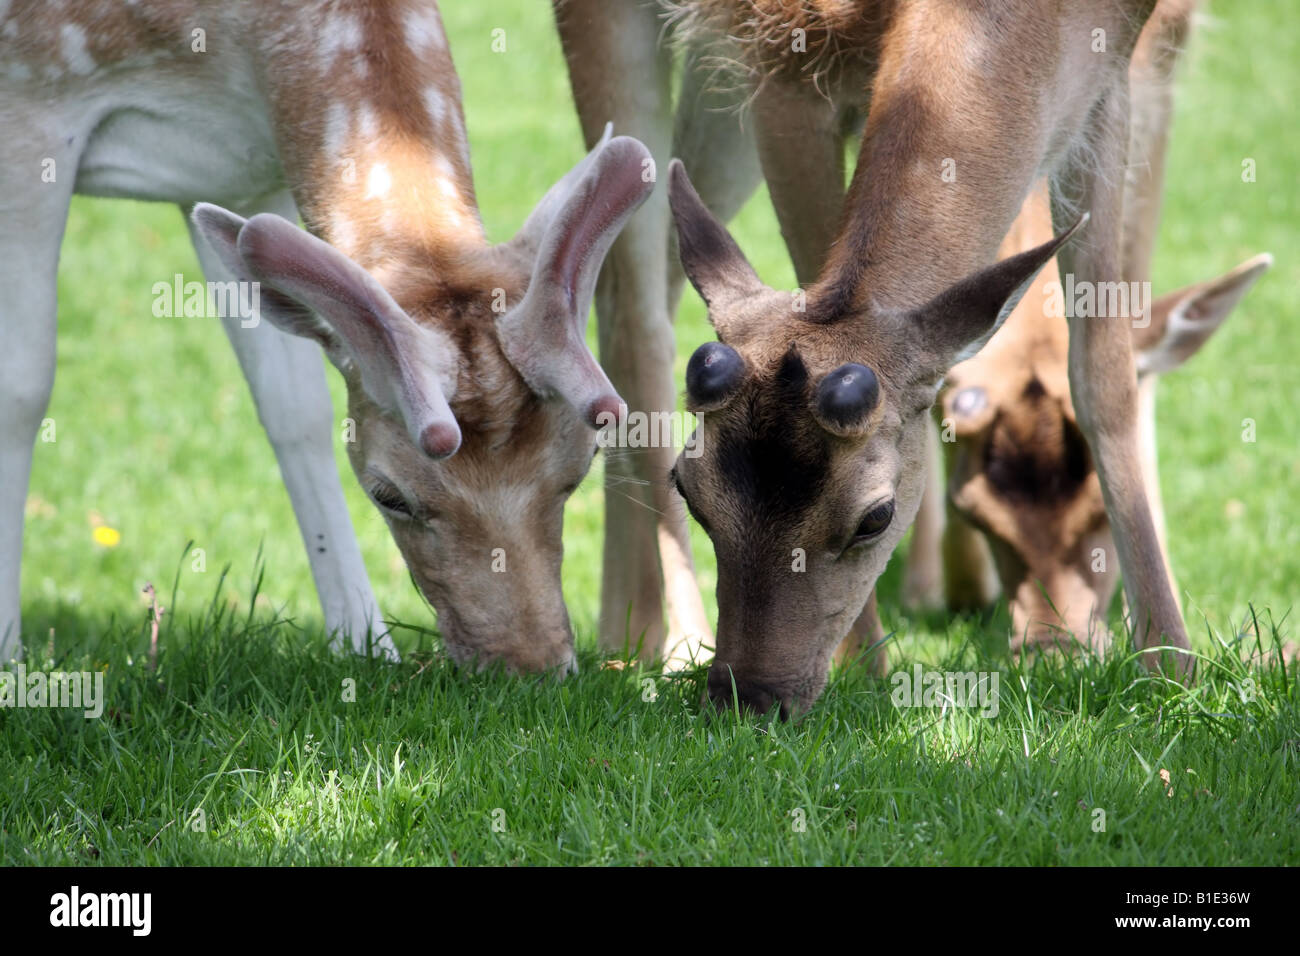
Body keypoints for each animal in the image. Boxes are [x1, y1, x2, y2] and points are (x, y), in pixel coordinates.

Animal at [0, 0, 654, 672]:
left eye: (579, 469)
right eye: (389, 494)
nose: (530, 666)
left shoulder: (241, 174)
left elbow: (295, 410)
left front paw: (365, 644)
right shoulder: (28, 98)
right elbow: (23, 390)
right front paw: (10, 654)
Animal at [558, 0, 1221, 715]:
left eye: (875, 519)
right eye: (690, 489)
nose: (749, 696)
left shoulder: (1117, 73)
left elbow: (1105, 375)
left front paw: (1171, 664)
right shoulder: (784, 61)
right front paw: (870, 666)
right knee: (632, 313)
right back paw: (664, 638)